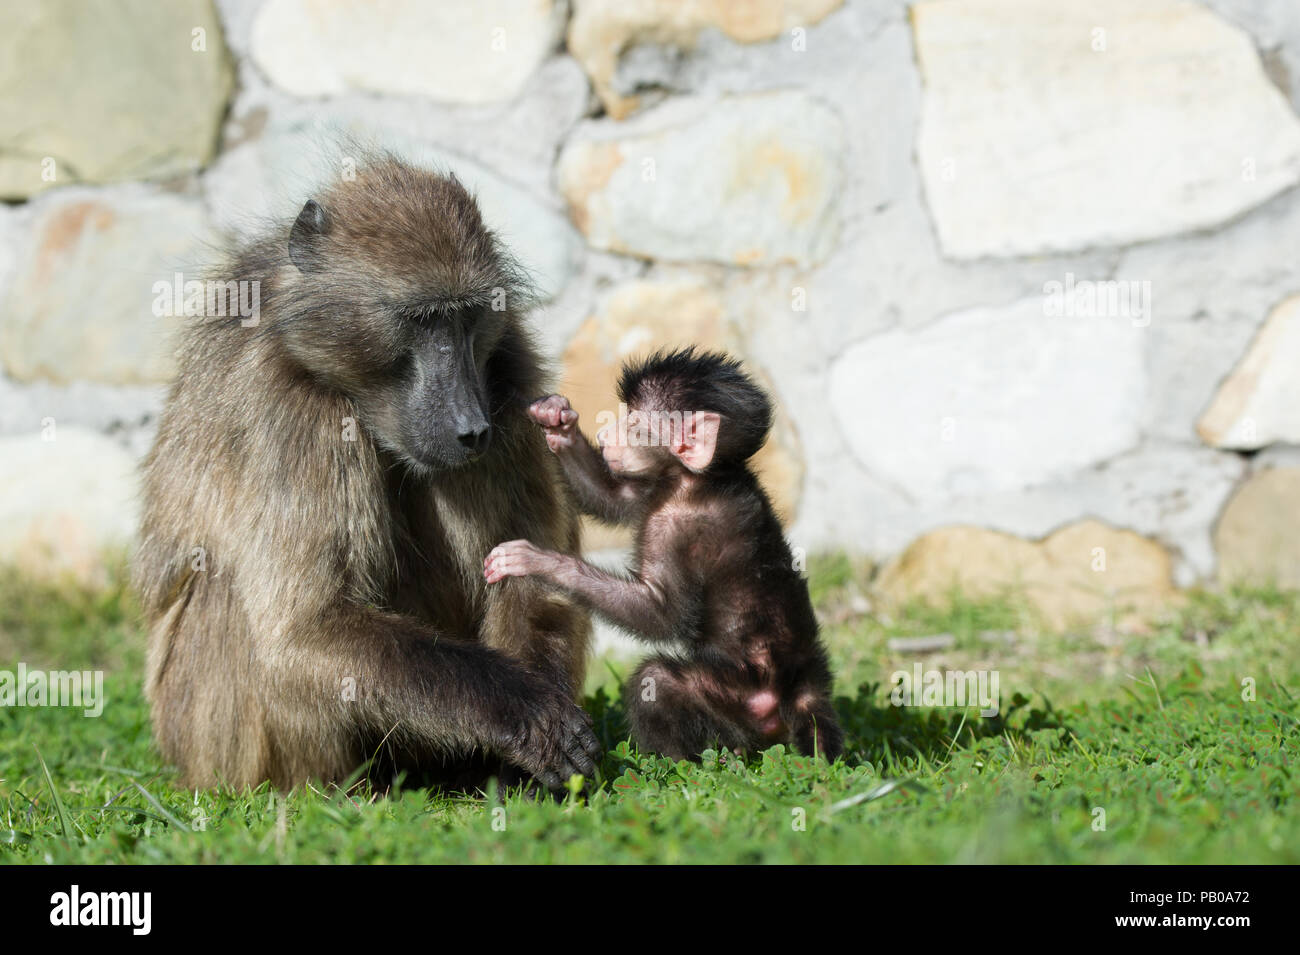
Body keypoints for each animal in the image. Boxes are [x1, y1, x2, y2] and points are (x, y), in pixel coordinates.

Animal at [133, 154, 602, 793]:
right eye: (422, 320)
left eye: (467, 319)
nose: (471, 427)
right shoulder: (293, 411)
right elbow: (303, 631)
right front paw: (529, 714)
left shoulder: (509, 372)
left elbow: (533, 575)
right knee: (230, 595)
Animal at [484, 347, 843, 763]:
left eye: (633, 423)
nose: (605, 435)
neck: (697, 479)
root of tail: (799, 688)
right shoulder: (656, 485)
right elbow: (610, 496)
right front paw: (556, 419)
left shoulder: (679, 525)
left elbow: (661, 613)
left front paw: (537, 562)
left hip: (744, 697)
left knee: (657, 682)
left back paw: (687, 763)